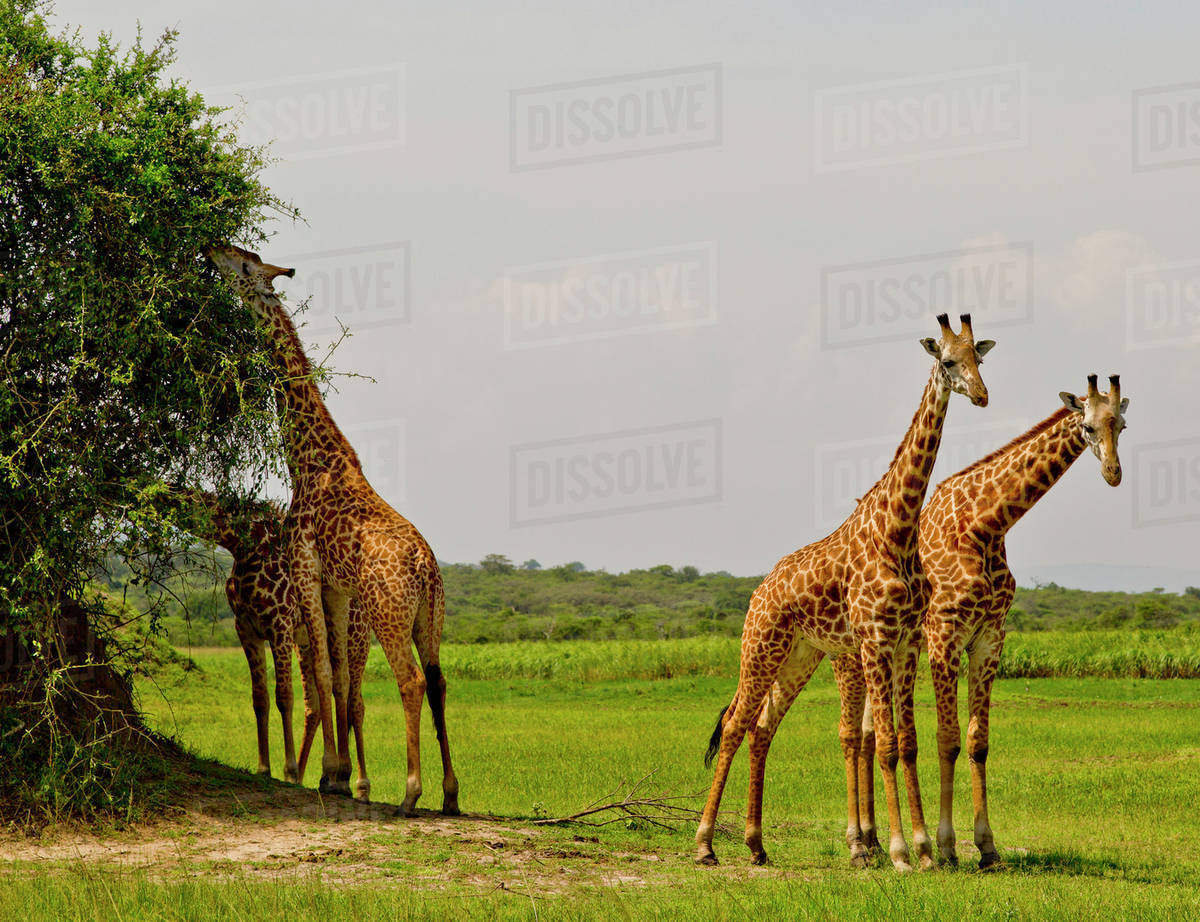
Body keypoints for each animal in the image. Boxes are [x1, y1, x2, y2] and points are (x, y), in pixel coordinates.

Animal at [207, 245, 459, 816]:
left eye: (243, 264)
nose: (209, 249)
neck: (309, 459)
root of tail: (424, 570)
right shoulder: (337, 588)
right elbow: (339, 678)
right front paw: (339, 775)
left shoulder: (304, 567)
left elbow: (321, 673)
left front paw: (328, 774)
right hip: (428, 618)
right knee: (437, 681)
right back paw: (452, 794)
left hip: (389, 613)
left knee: (411, 681)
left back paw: (411, 792)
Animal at [695, 314, 995, 870]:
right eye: (947, 361)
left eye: (979, 358)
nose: (982, 395)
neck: (898, 528)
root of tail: (759, 591)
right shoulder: (875, 639)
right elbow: (887, 747)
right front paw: (899, 852)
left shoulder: (906, 643)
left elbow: (907, 742)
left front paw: (923, 850)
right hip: (759, 649)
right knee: (734, 725)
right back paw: (704, 843)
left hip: (798, 656)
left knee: (762, 727)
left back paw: (756, 843)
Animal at [888, 373, 1128, 869]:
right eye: (1089, 426)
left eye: (1122, 425)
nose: (1114, 474)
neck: (985, 526)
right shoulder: (945, 633)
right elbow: (948, 738)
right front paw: (946, 847)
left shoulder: (989, 636)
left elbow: (977, 741)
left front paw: (987, 847)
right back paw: (882, 846)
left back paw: (872, 842)